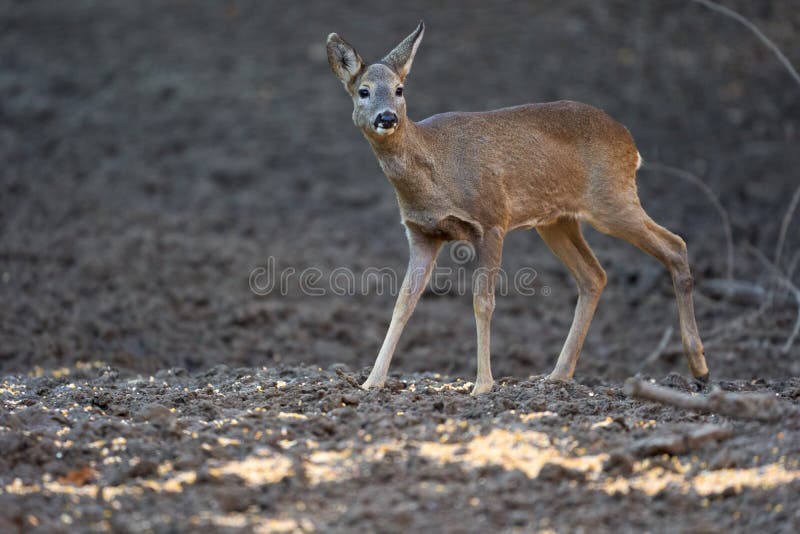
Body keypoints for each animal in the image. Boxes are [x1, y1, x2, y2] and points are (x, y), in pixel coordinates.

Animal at [326, 22, 710, 395]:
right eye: (363, 91)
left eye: (400, 89)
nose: (387, 117)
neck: (435, 173)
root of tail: (630, 143)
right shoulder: (422, 234)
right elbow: (403, 303)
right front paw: (371, 382)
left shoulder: (492, 219)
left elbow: (483, 302)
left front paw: (482, 385)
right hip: (557, 220)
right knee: (594, 275)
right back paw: (557, 375)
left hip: (612, 198)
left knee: (675, 244)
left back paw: (700, 368)